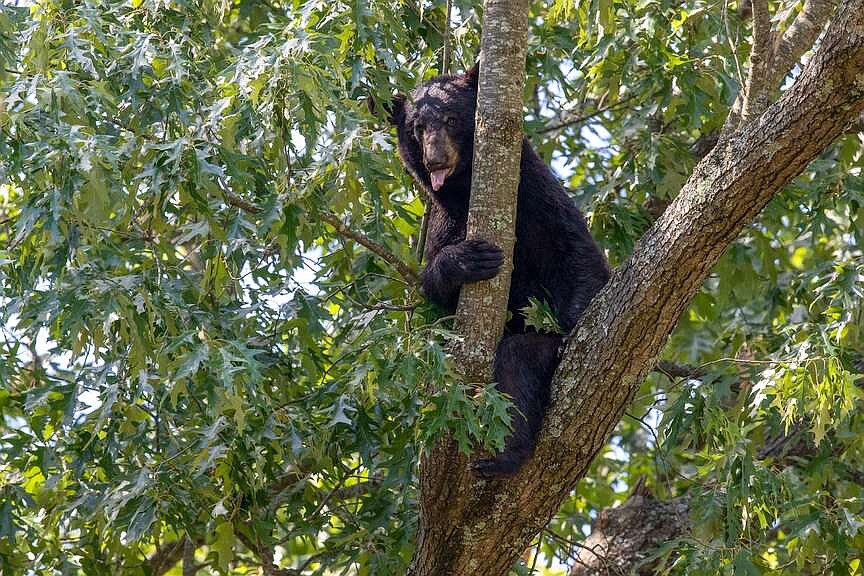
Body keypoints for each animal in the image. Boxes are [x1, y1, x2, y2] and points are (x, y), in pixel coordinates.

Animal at [375, 63, 610, 476]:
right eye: (417, 127)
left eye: (452, 119)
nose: (435, 161)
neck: (467, 188)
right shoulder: (446, 215)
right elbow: (433, 282)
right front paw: (467, 260)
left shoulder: (534, 191)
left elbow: (576, 251)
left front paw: (572, 326)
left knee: (517, 364)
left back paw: (505, 455)